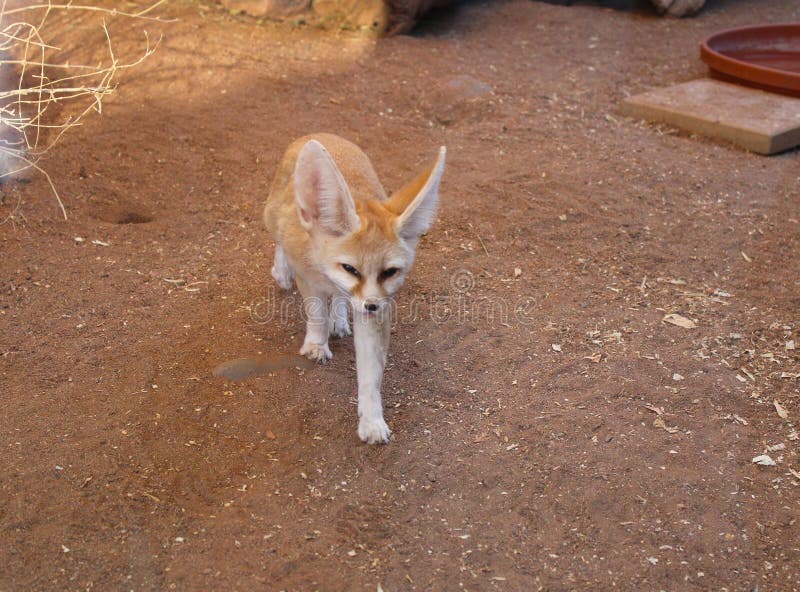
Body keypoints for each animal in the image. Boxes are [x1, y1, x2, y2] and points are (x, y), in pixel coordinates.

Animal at [263, 134, 446, 444]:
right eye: (350, 268)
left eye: (389, 272)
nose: (372, 305)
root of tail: (321, 134)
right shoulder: (309, 278)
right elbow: (316, 314)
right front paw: (316, 344)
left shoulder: (376, 308)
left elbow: (370, 375)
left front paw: (371, 420)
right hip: (274, 218)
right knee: (279, 241)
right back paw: (282, 271)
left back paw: (338, 319)